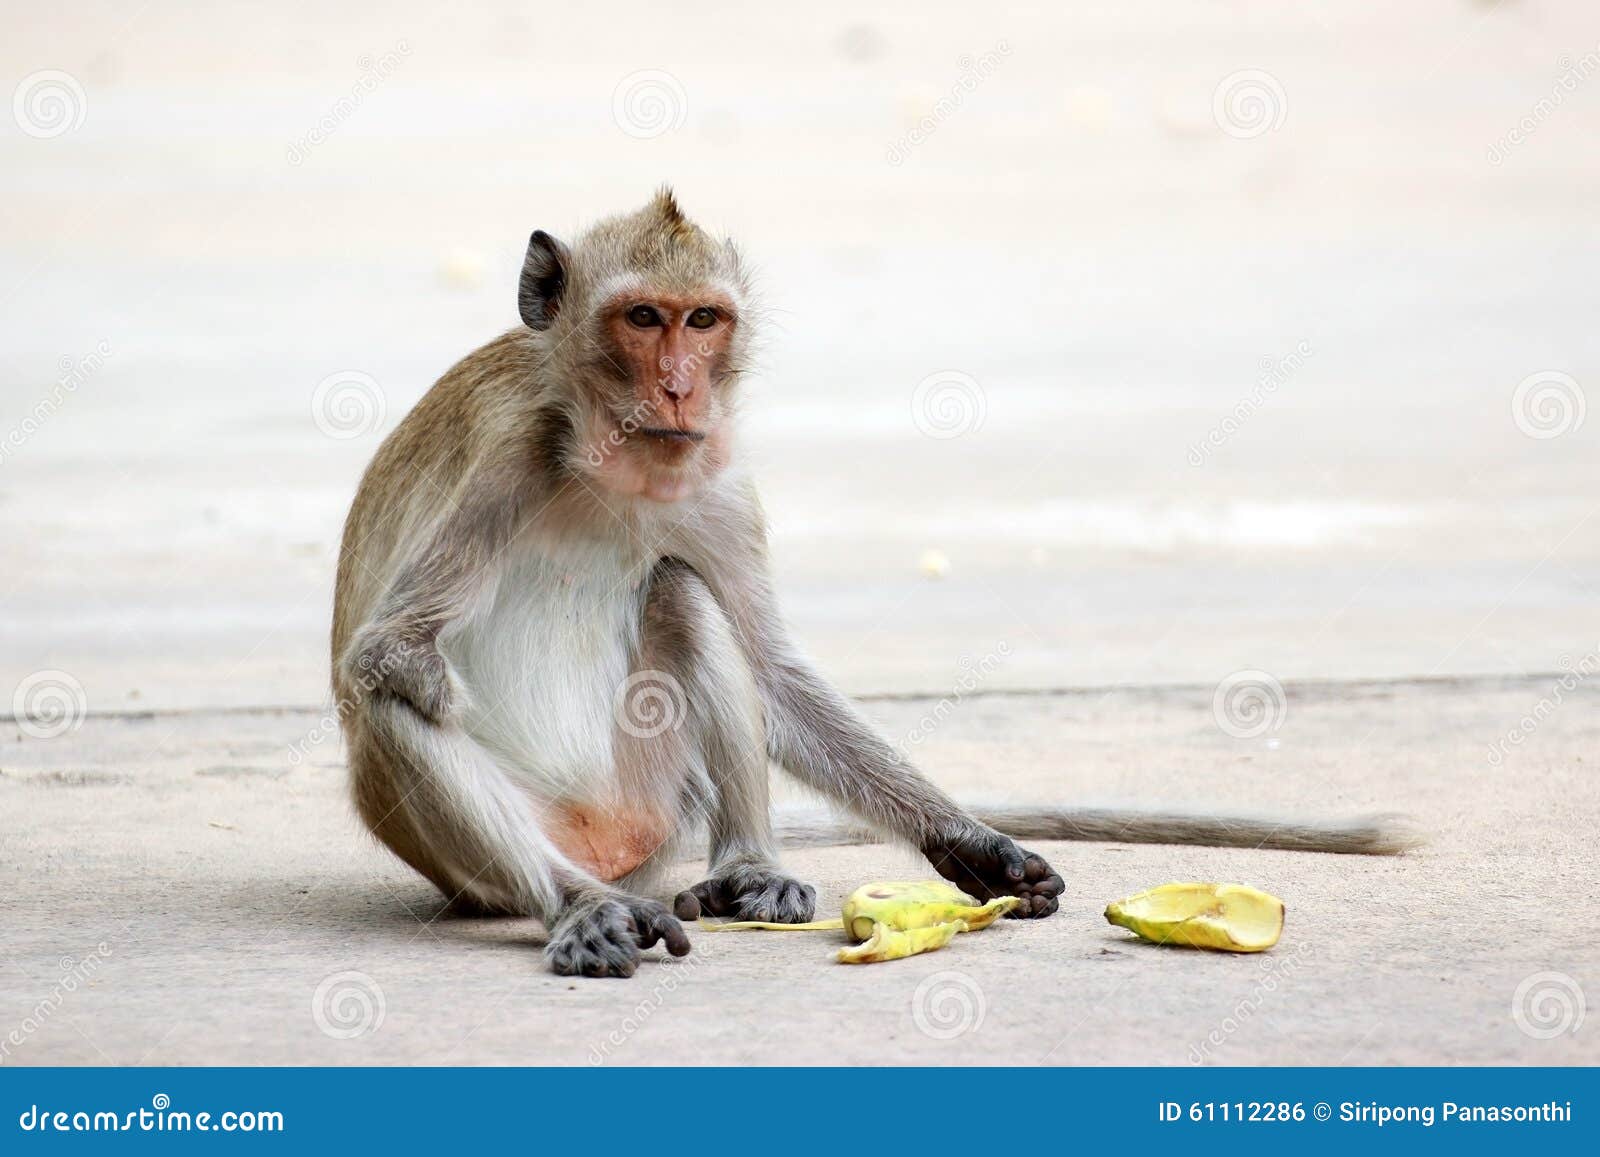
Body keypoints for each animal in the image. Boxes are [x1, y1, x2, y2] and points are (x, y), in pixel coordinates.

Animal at [331, 189, 1422, 978]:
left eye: (701, 320)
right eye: (641, 318)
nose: (680, 388)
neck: (614, 472)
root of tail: (626, 848)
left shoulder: (721, 487)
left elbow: (771, 670)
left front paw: (967, 842)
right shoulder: (507, 463)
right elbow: (394, 658)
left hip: (644, 792)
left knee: (684, 595)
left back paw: (748, 869)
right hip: (500, 848)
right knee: (396, 705)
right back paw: (586, 905)